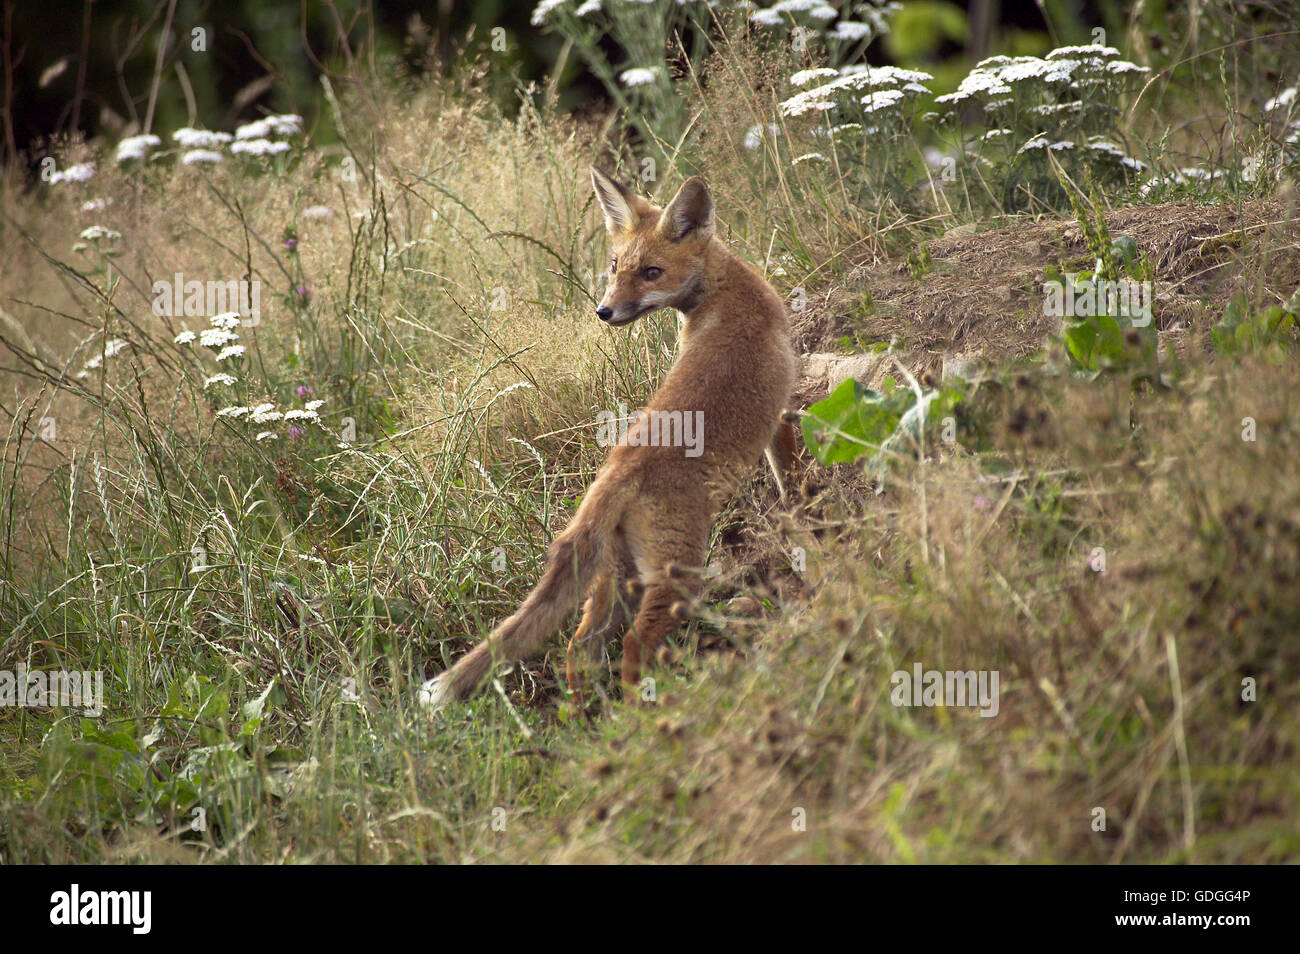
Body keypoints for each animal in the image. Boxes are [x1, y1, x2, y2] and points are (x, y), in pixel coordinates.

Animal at [419, 167, 799, 709]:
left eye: (651, 273)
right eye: (617, 266)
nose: (602, 311)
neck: (726, 292)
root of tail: (615, 473)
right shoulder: (782, 413)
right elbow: (793, 481)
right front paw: (811, 520)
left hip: (618, 578)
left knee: (579, 648)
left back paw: (583, 719)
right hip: (677, 576)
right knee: (633, 647)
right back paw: (643, 713)